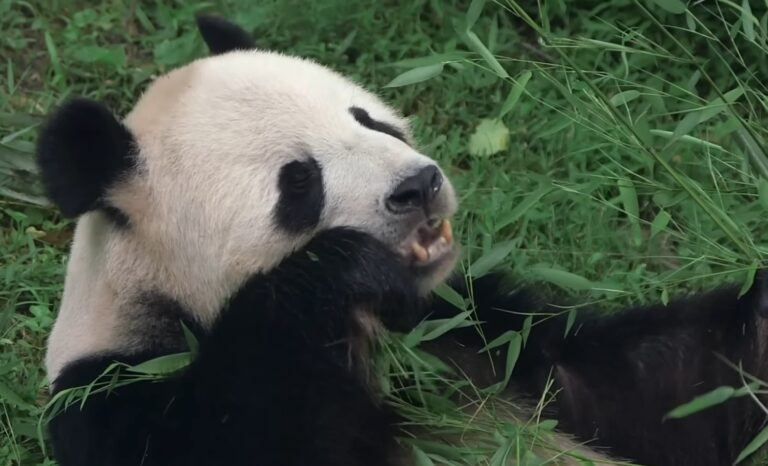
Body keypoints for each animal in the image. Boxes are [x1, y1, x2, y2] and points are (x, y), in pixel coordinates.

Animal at [36, 15, 768, 466]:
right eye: (298, 182)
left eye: (370, 121)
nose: (418, 185)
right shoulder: (114, 397)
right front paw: (336, 269)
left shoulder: (470, 328)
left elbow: (657, 390)